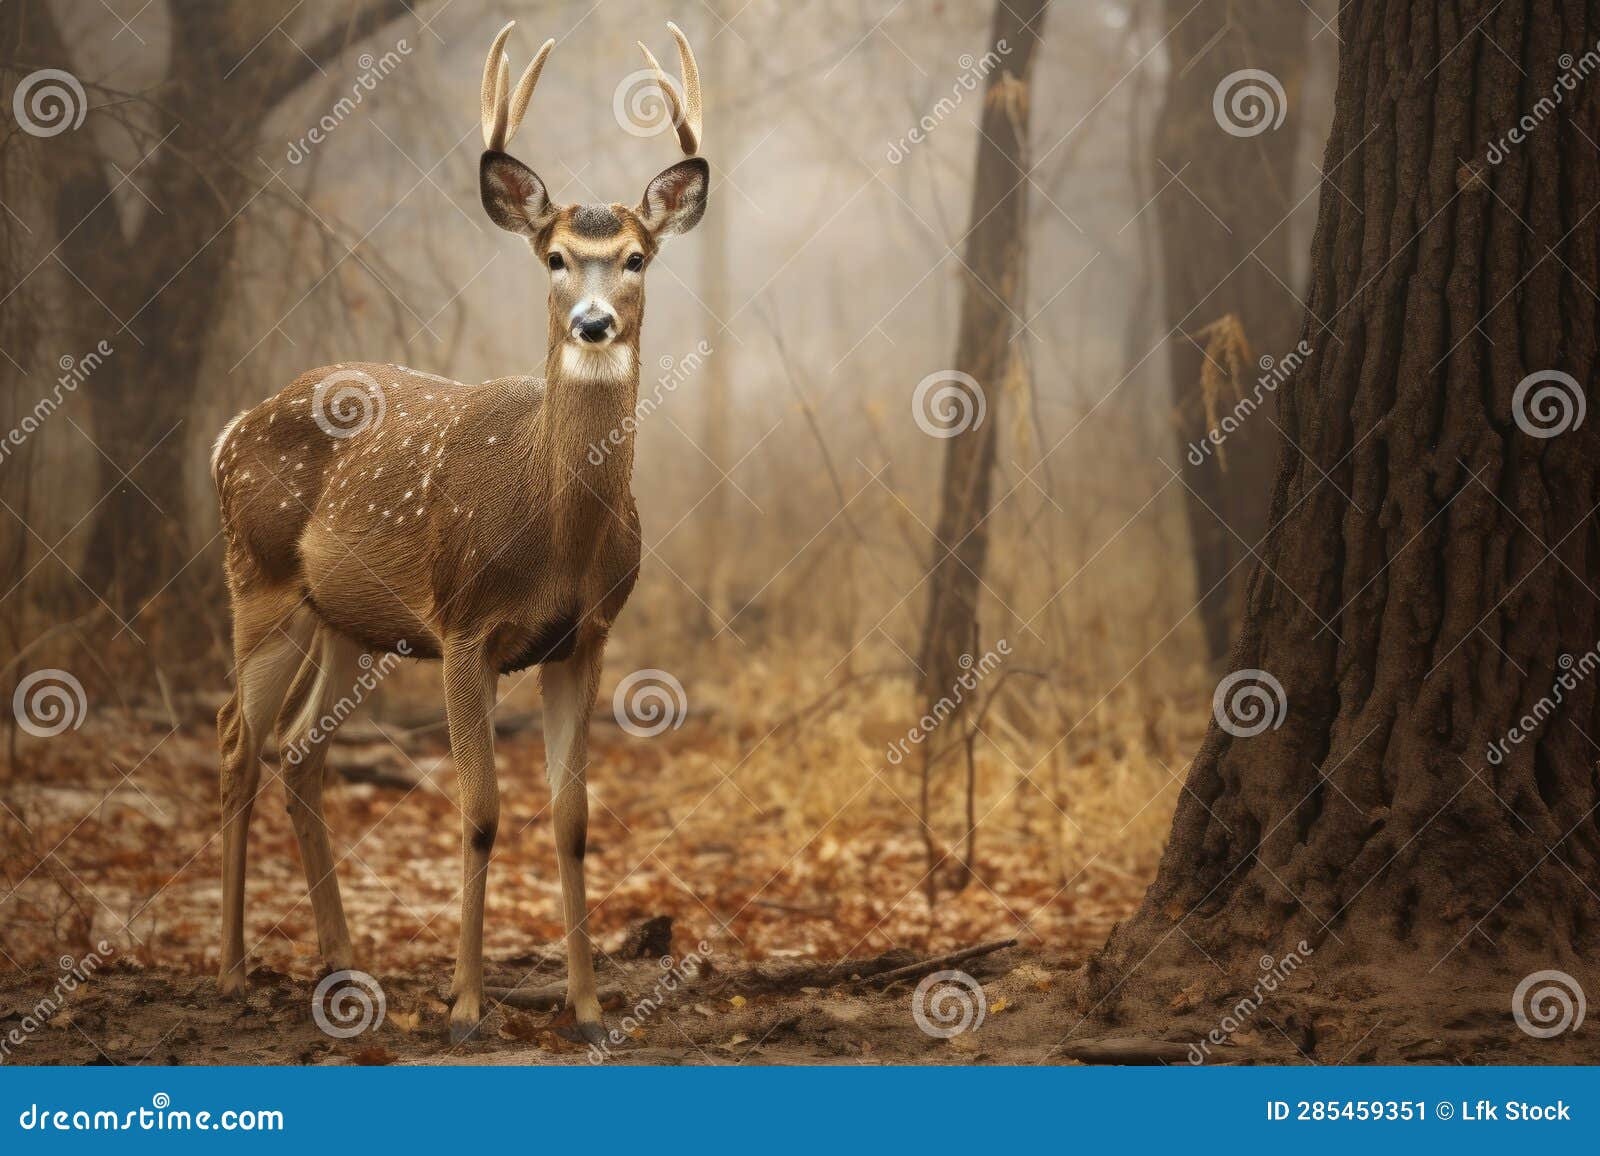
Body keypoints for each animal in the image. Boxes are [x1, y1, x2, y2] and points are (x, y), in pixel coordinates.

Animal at [209, 20, 707, 1044]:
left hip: (348, 622)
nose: (593, 322)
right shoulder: (466, 623)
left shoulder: (587, 636)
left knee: (300, 751)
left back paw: (342, 961)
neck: (555, 537)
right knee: (238, 740)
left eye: (636, 257)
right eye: (554, 256)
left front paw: (587, 1007)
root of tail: (228, 432)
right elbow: (479, 811)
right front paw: (468, 1005)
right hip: (259, 578)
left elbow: (572, 817)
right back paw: (235, 972)